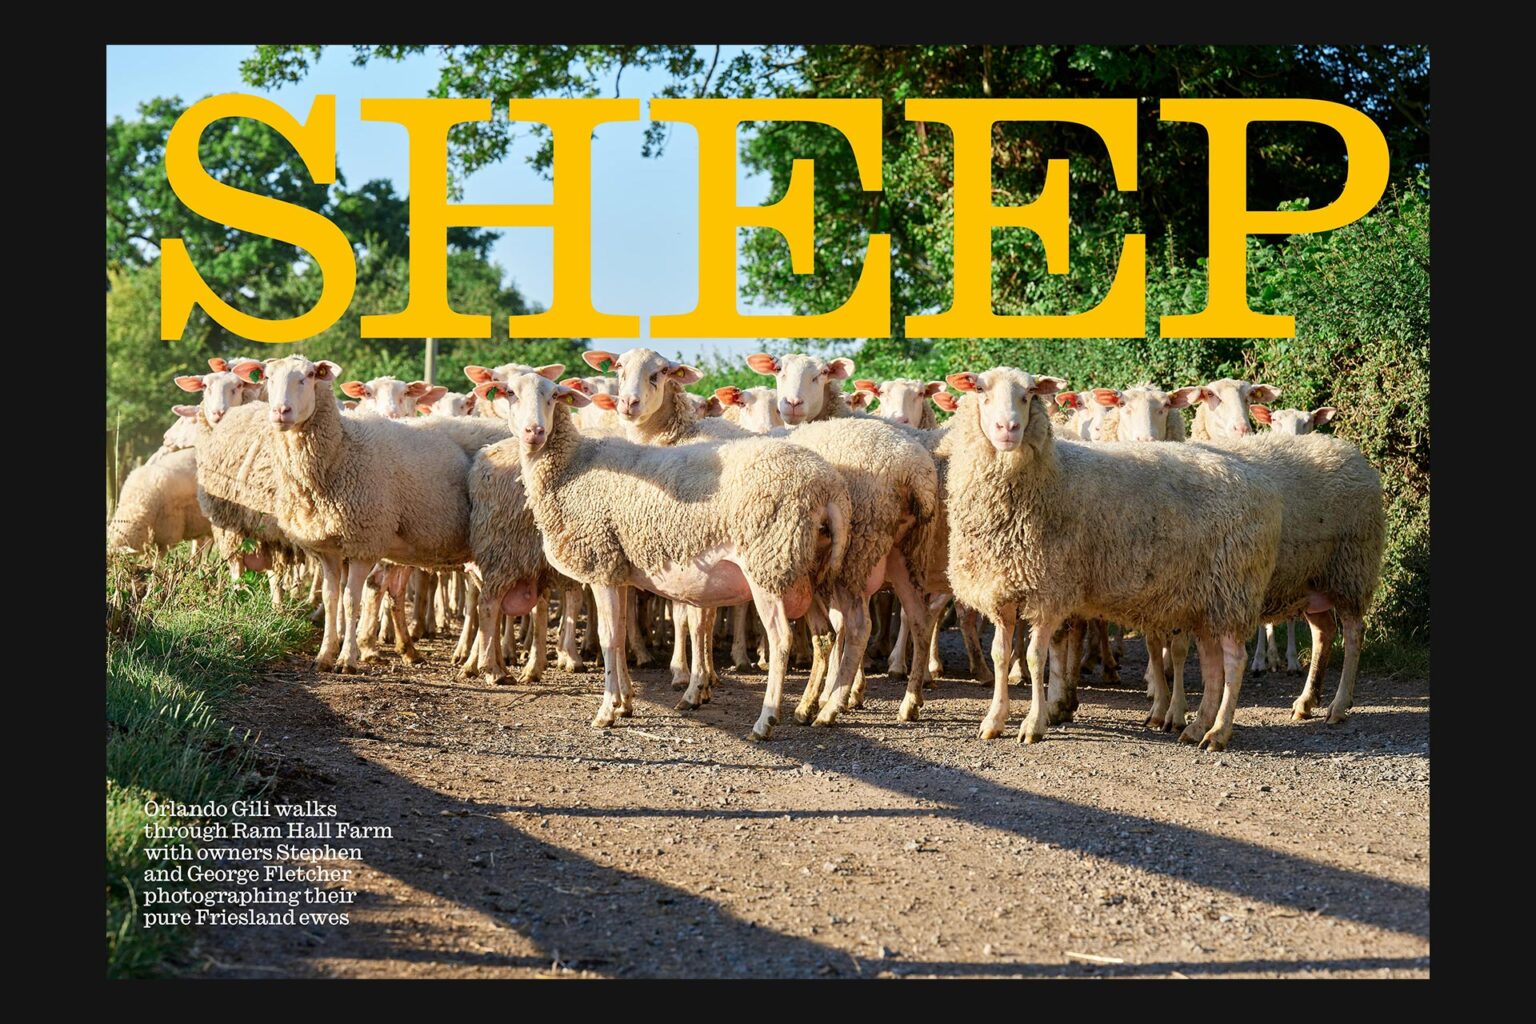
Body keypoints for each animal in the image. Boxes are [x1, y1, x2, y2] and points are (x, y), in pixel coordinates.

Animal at [231, 356, 486, 673]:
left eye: (309, 375)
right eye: (267, 377)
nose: (281, 411)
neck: (343, 447)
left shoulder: (364, 542)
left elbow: (353, 600)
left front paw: (347, 659)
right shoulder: (327, 548)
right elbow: (332, 599)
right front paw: (325, 655)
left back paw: (483, 661)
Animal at [502, 371, 851, 740]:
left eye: (554, 396)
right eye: (510, 393)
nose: (535, 432)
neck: (571, 469)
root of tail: (828, 486)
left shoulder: (601, 564)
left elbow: (609, 639)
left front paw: (606, 711)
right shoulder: (618, 570)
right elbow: (621, 635)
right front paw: (625, 703)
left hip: (767, 563)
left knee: (782, 639)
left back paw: (766, 720)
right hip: (805, 568)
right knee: (825, 636)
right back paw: (807, 708)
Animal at [944, 367, 1283, 750]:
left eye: (1030, 393)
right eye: (980, 390)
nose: (1008, 428)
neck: (1050, 476)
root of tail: (1260, 482)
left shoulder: (1050, 591)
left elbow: (1035, 658)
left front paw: (1034, 723)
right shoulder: (1002, 589)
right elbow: (1000, 656)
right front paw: (993, 720)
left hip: (1234, 586)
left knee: (1235, 660)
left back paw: (1218, 732)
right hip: (1206, 598)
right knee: (1213, 663)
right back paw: (1197, 727)